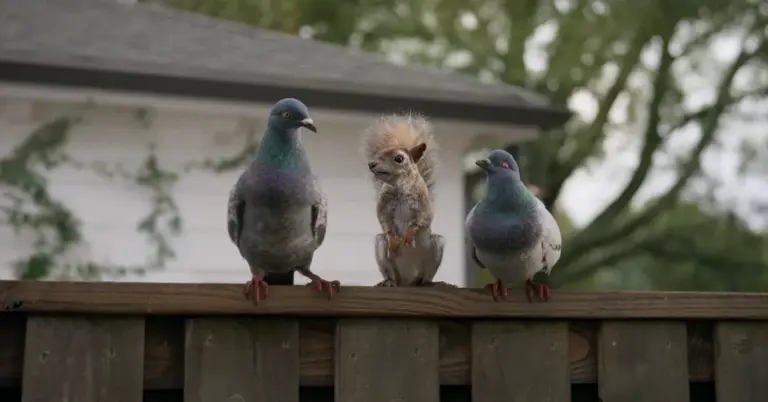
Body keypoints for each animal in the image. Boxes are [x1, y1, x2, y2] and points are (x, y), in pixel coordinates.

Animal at [363, 113, 446, 287]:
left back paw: (429, 283)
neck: (399, 186)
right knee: (392, 275)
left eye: (399, 159)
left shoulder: (423, 203)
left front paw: (409, 233)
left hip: (437, 246)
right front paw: (393, 239)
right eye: (379, 152)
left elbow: (423, 218)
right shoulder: (384, 203)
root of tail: (408, 280)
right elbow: (383, 218)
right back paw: (388, 282)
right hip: (381, 248)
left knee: (425, 277)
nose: (371, 164)